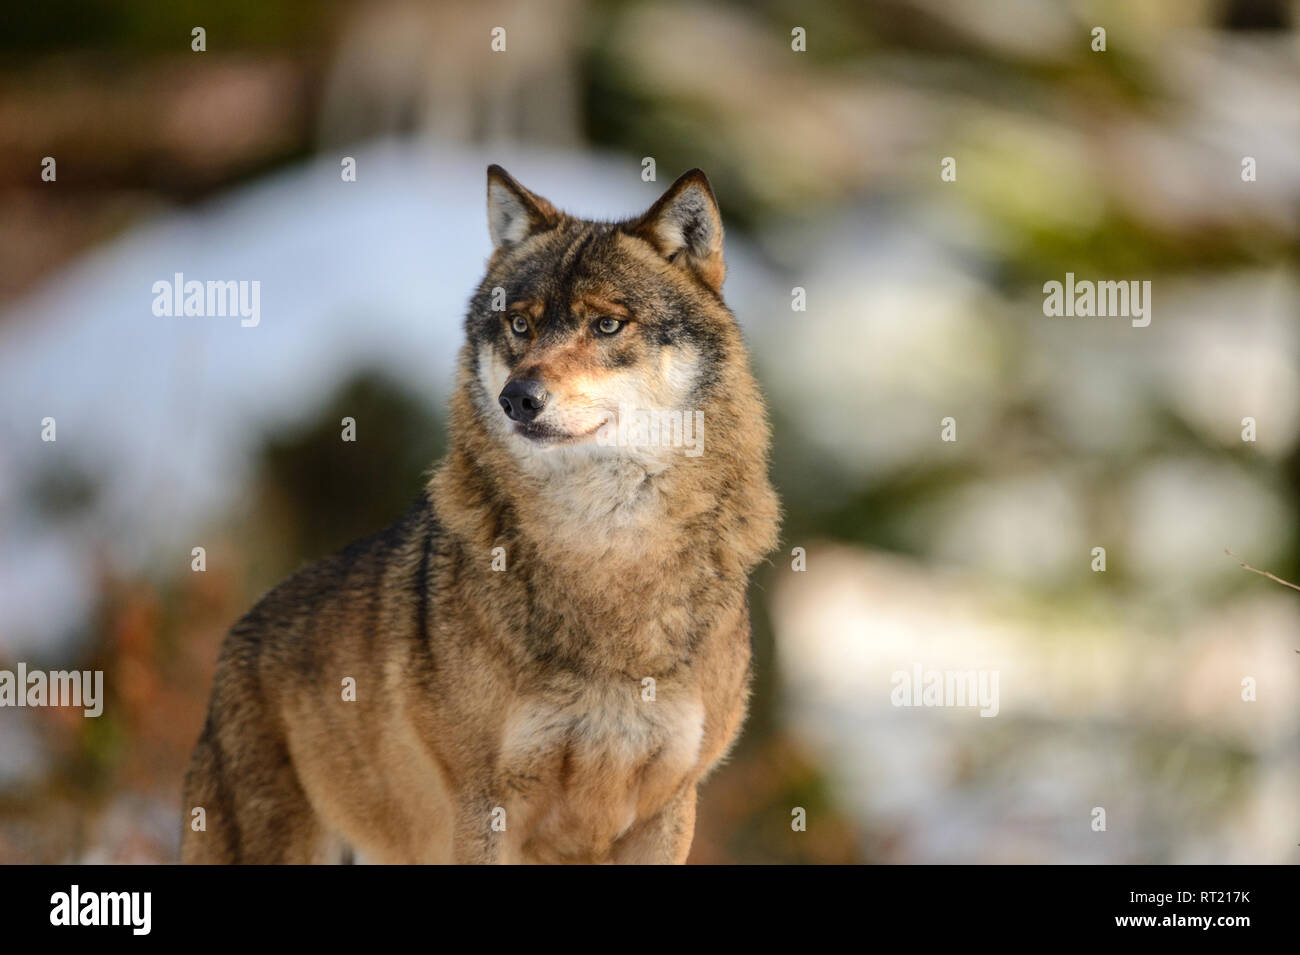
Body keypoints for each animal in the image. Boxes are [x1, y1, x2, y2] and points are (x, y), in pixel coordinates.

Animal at [181, 166, 780, 864]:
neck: (604, 551)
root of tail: (233, 645)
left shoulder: (669, 808)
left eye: (607, 326)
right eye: (519, 324)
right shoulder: (483, 806)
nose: (517, 397)